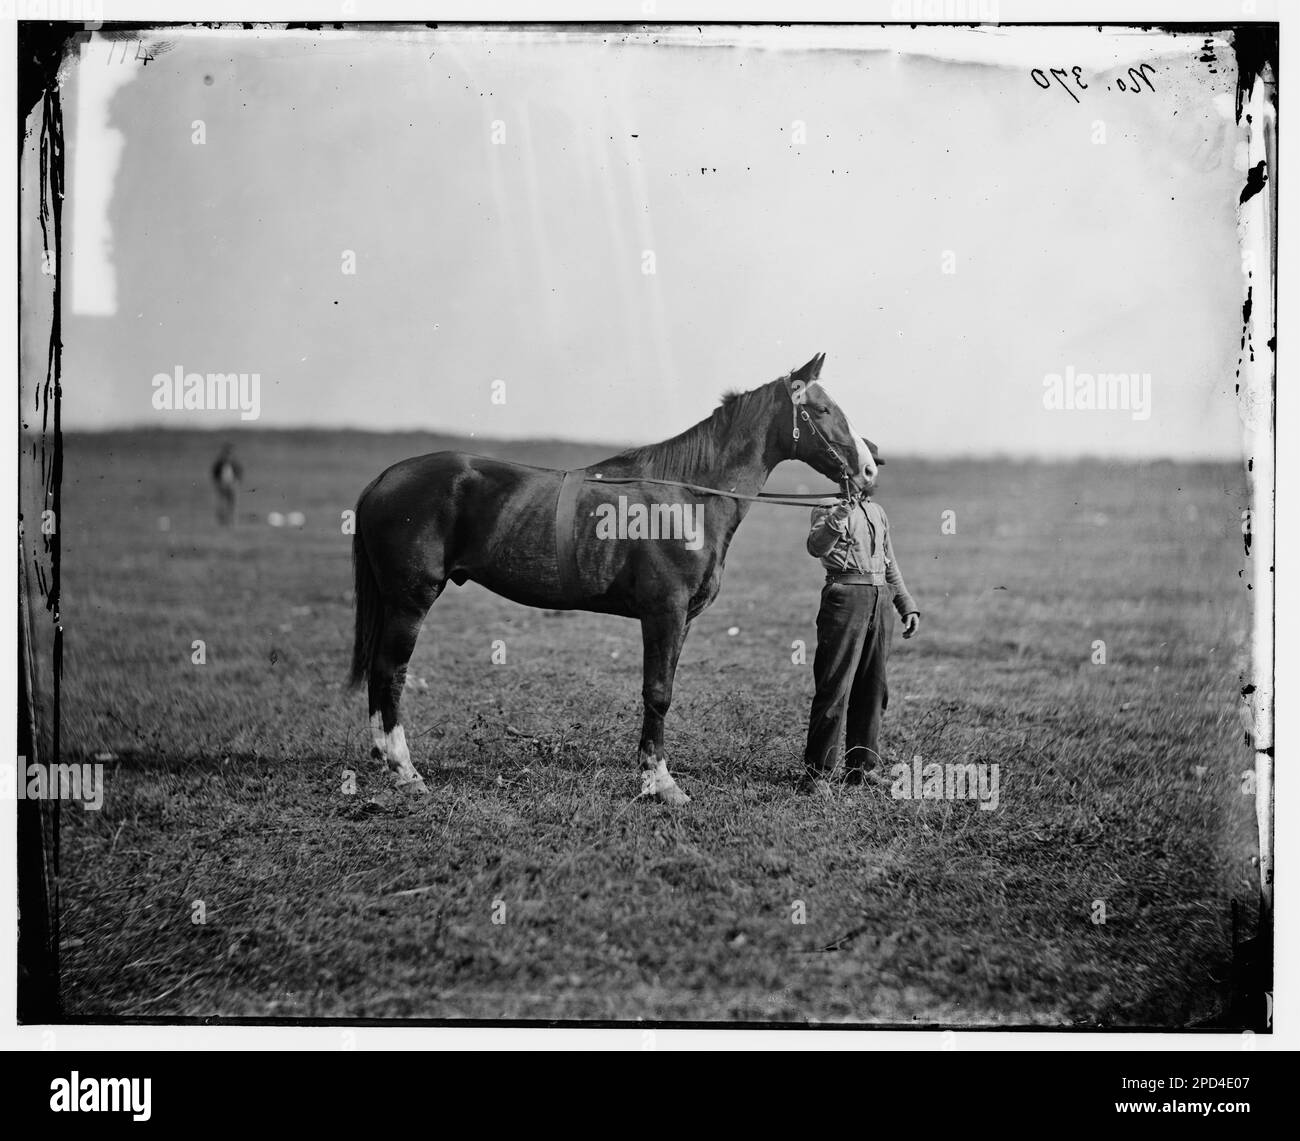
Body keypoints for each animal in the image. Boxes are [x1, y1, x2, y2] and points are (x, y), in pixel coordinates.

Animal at [348, 352, 875, 805]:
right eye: (823, 409)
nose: (870, 468)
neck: (687, 498)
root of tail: (384, 480)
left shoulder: (680, 620)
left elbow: (661, 690)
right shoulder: (664, 613)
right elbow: (658, 693)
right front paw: (661, 784)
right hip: (410, 601)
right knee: (389, 672)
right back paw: (406, 771)